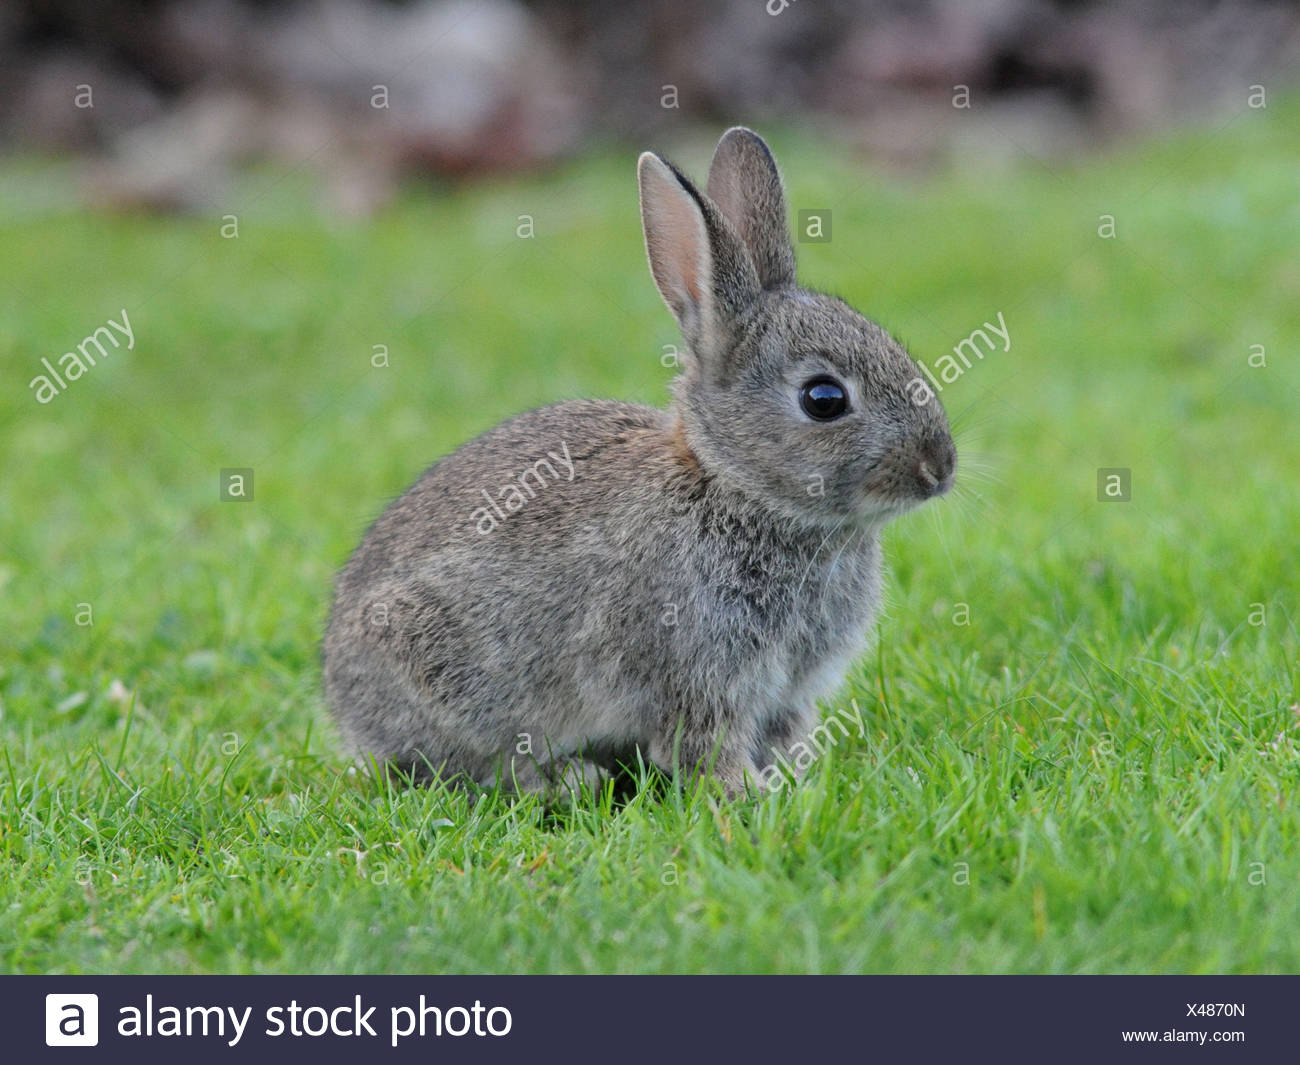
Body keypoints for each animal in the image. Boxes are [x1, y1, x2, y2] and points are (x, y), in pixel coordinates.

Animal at [322, 127, 956, 798]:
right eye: (824, 399)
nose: (939, 470)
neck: (733, 489)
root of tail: (340, 696)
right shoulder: (698, 673)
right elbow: (702, 746)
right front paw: (744, 794)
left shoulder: (788, 690)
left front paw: (792, 780)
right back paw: (569, 779)